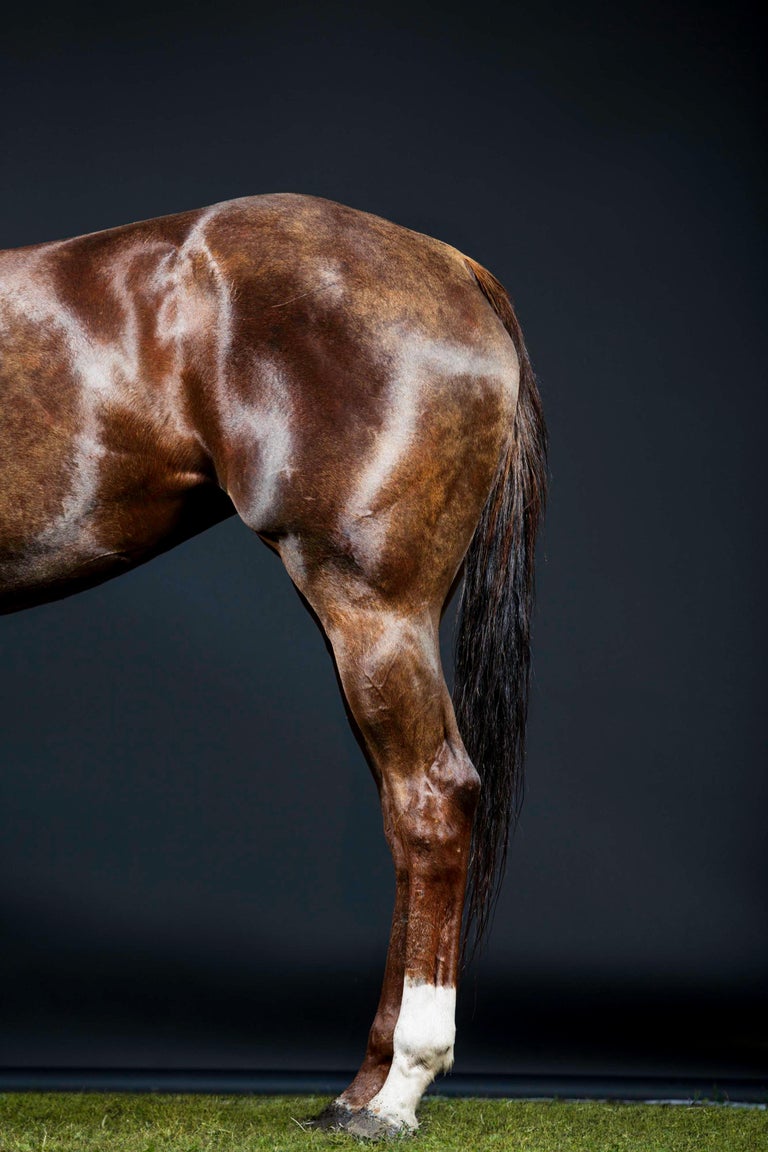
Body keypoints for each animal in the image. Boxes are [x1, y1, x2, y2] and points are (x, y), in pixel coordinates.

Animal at [0, 193, 547, 1138]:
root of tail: (453, 265)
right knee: (405, 816)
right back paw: (359, 1088)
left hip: (371, 608)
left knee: (433, 800)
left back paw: (398, 1090)